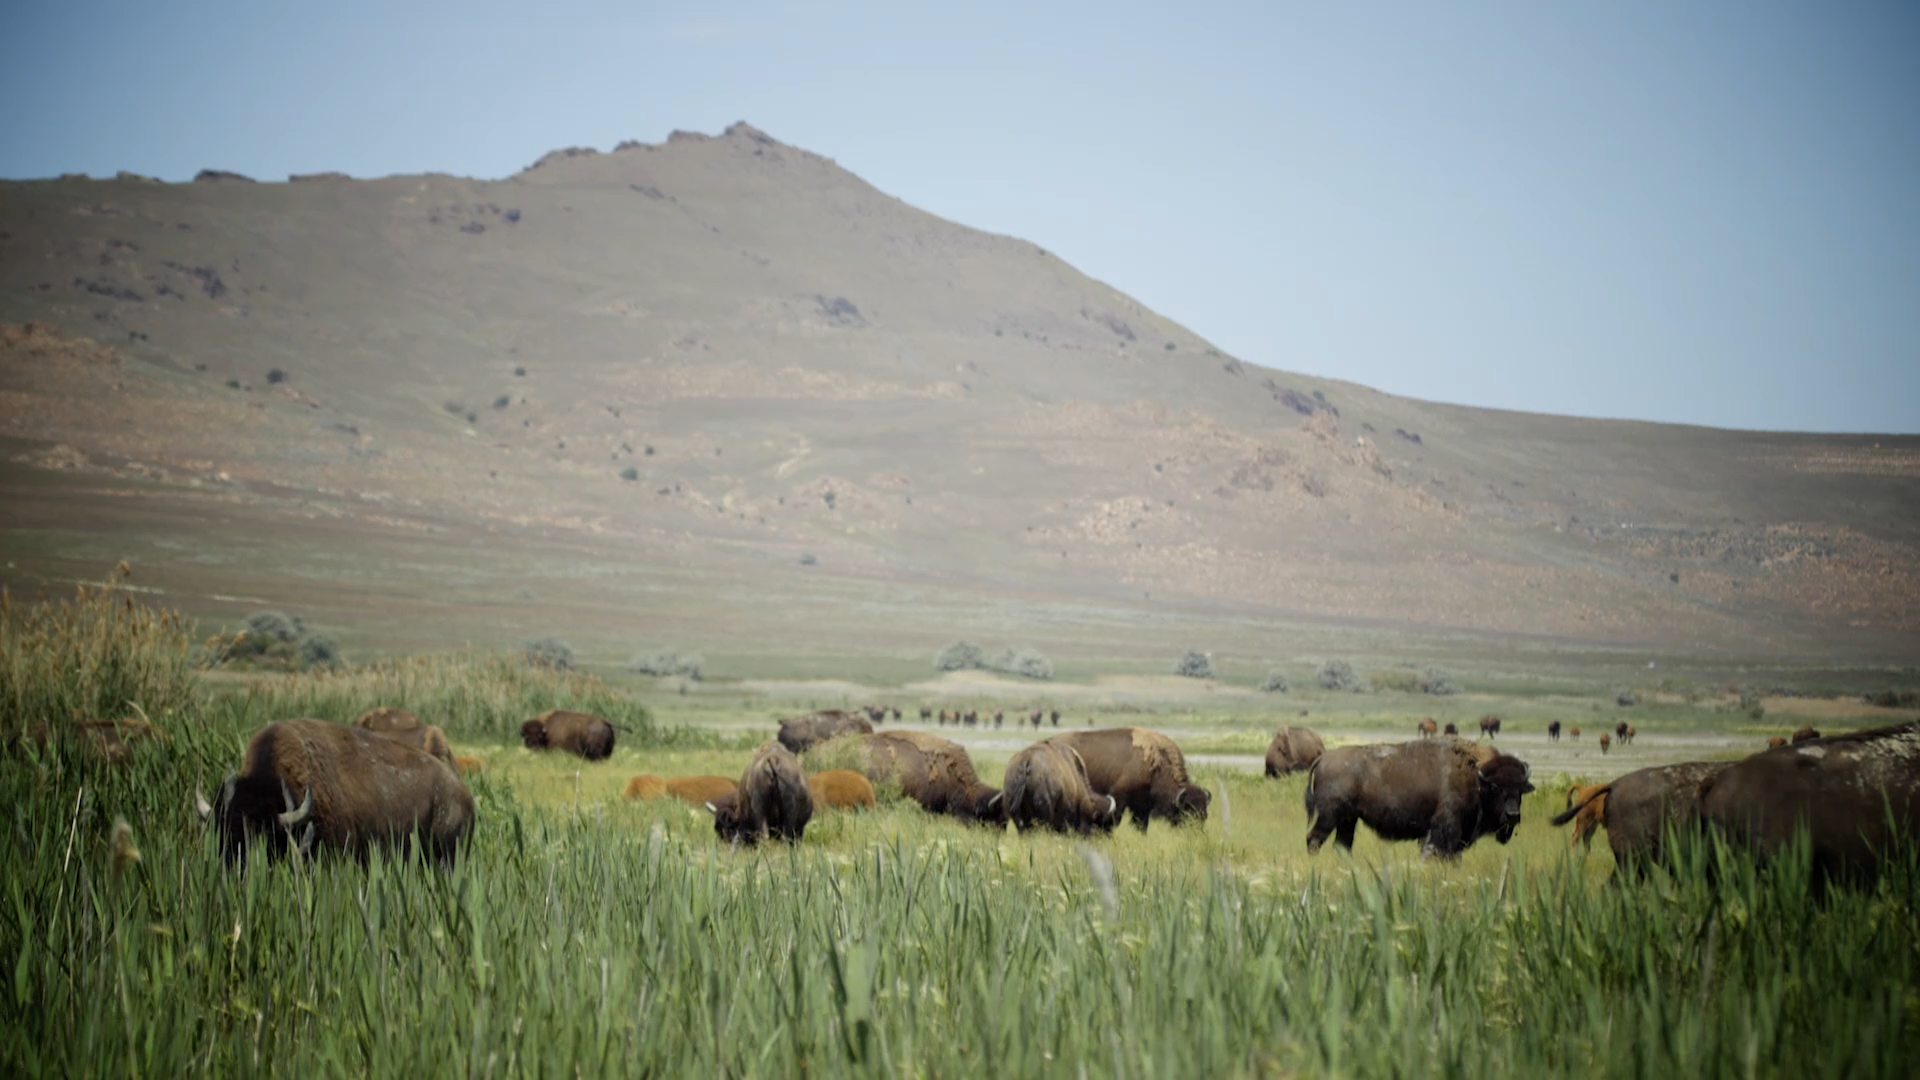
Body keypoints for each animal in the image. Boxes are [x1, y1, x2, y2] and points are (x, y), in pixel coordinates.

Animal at [1048, 727, 1210, 830]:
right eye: (1188, 812)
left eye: (1205, 815)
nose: (1196, 832)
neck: (1155, 763)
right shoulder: (1119, 797)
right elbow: (1114, 820)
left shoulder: (1143, 805)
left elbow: (1141, 825)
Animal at [1304, 739, 1534, 858]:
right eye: (1495, 788)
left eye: (1521, 789)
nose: (1512, 815)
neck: (1476, 777)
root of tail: (1323, 758)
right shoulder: (1446, 828)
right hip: (1329, 816)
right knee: (1314, 839)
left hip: (1348, 819)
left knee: (1342, 845)